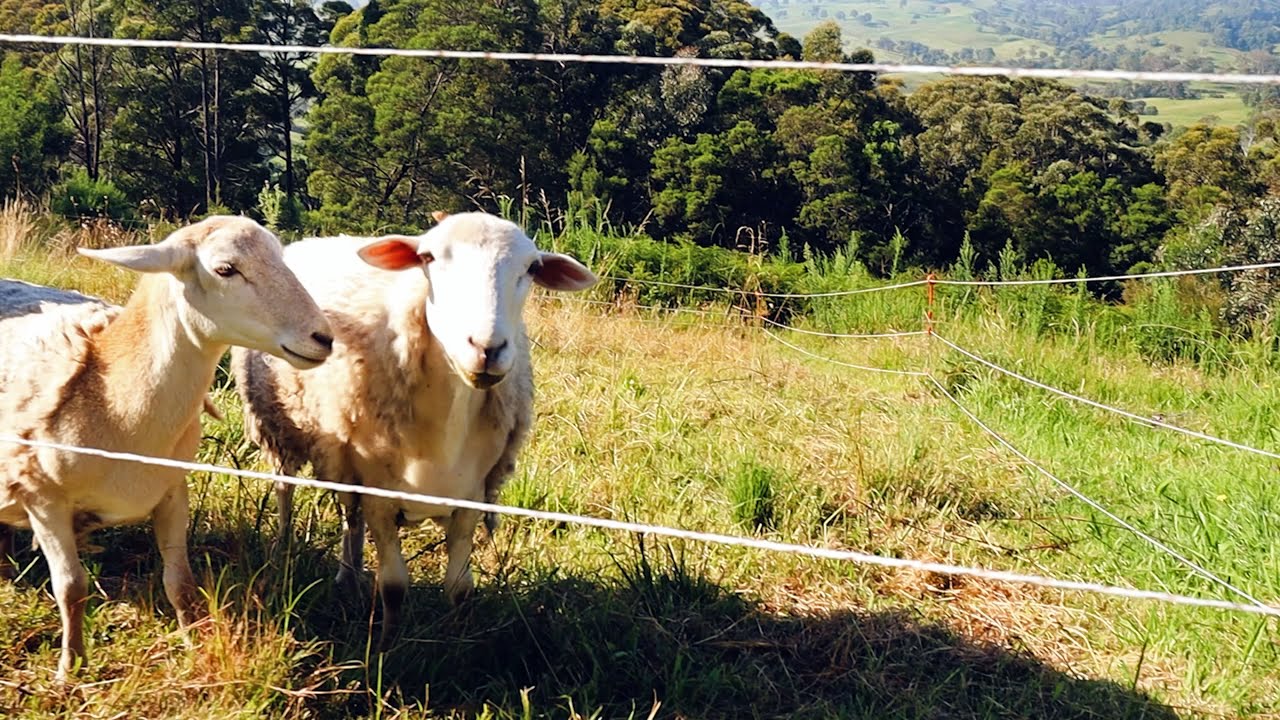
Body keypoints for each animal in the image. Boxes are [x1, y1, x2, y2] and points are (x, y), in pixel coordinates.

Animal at [0, 216, 335, 680]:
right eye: (226, 269)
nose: (323, 337)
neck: (115, 401)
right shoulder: (43, 498)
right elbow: (71, 587)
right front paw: (71, 669)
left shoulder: (173, 490)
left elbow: (180, 582)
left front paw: (193, 645)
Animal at [232, 211, 596, 646]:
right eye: (428, 258)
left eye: (533, 268)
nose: (486, 348)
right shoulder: (380, 494)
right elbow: (393, 586)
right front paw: (387, 646)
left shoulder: (470, 496)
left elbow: (459, 588)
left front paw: (458, 642)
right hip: (275, 425)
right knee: (285, 490)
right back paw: (283, 553)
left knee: (349, 516)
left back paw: (348, 577)